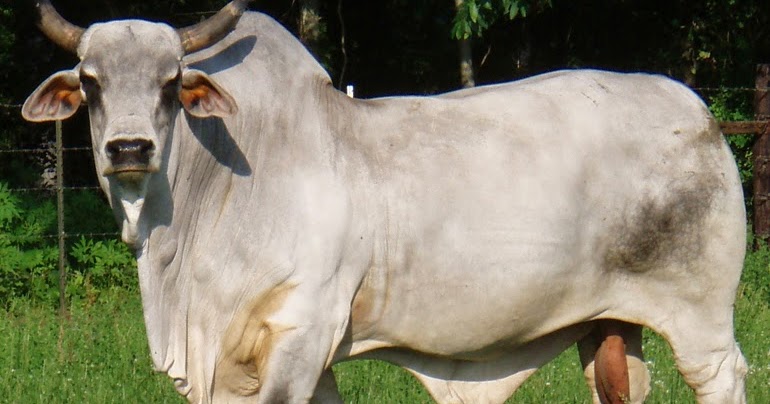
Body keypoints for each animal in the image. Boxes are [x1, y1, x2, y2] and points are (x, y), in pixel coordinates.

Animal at [22, 1, 748, 403]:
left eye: (172, 82)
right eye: (91, 81)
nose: (129, 149)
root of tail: (699, 112)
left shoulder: (299, 332)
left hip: (701, 320)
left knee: (722, 376)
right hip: (609, 327)